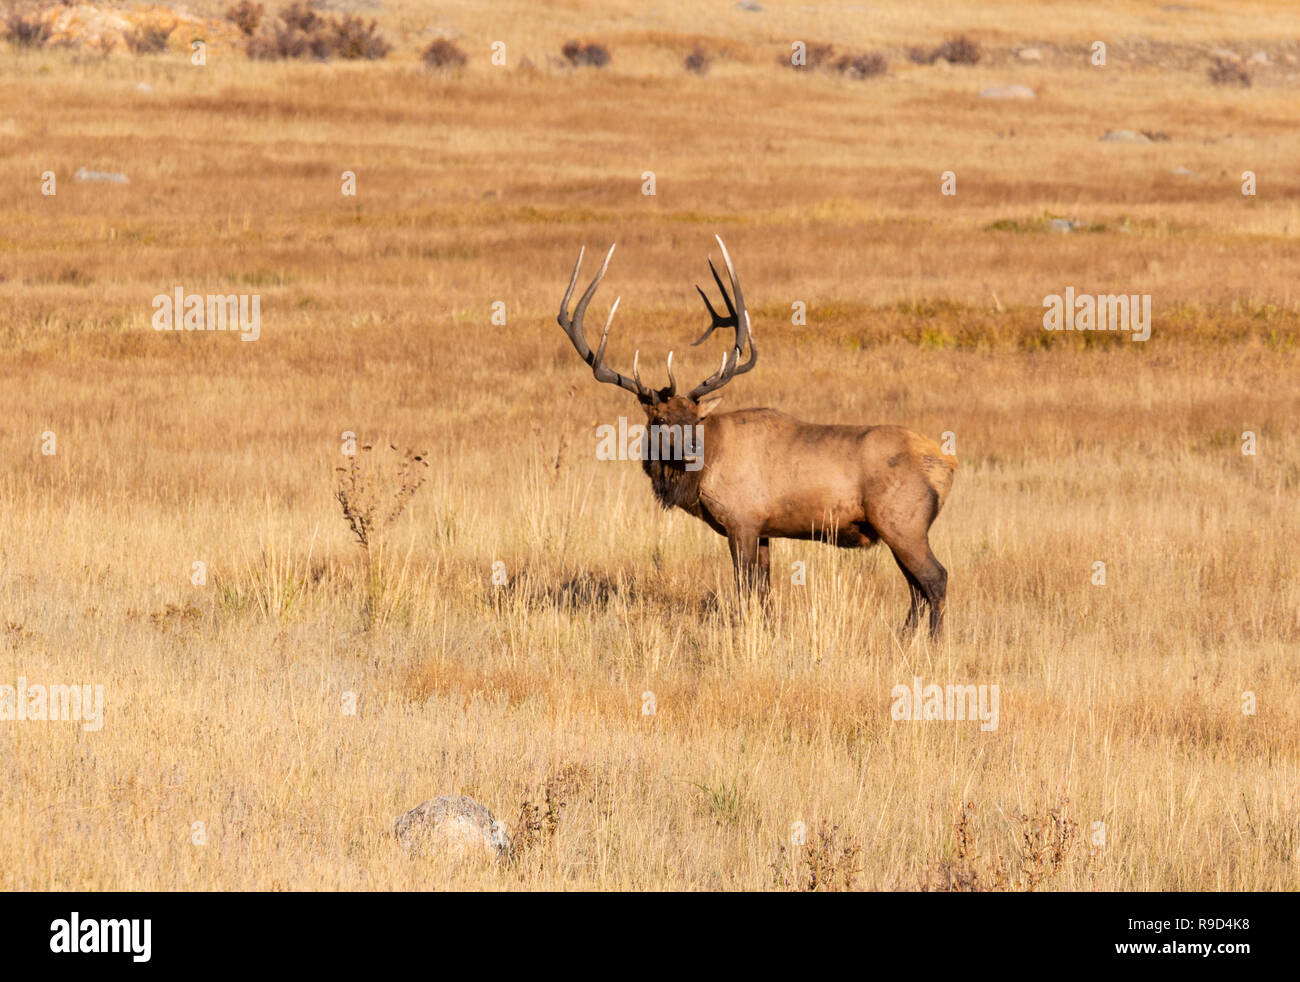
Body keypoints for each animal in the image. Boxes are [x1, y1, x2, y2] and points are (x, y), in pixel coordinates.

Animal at [556, 236, 957, 638]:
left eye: (695, 419)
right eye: (661, 419)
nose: (690, 453)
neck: (704, 474)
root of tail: (949, 464)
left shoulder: (742, 519)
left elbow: (745, 586)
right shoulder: (764, 529)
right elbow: (764, 591)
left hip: (903, 522)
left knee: (934, 578)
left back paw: (933, 642)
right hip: (897, 529)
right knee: (916, 587)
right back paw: (905, 637)